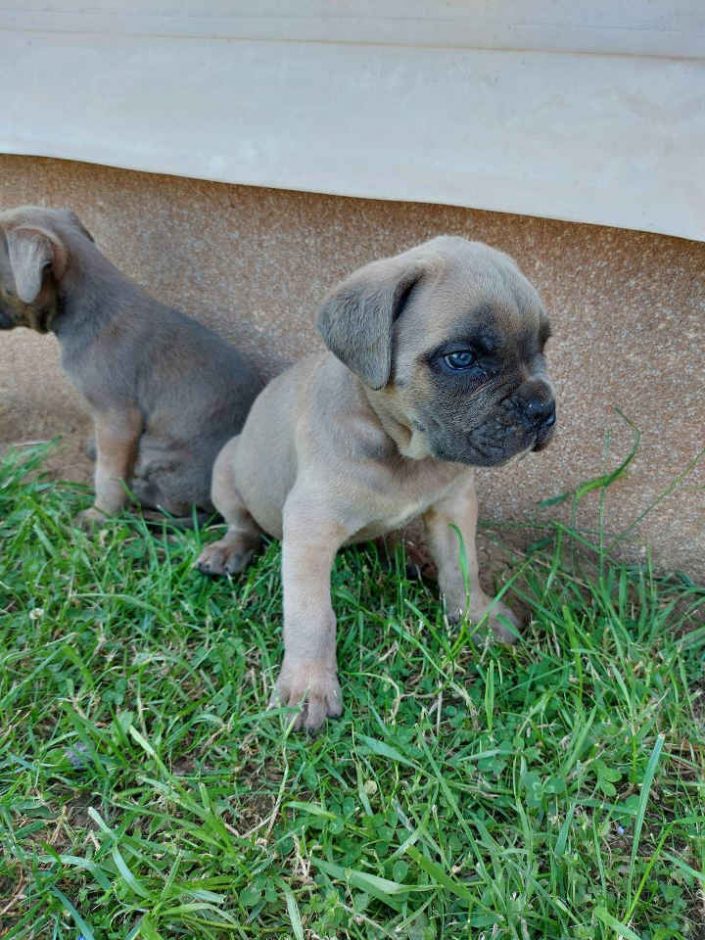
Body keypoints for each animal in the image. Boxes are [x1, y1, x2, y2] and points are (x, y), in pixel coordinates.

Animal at [197, 237, 556, 736]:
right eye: (461, 358)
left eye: (542, 346)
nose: (543, 409)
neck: (400, 446)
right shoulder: (309, 528)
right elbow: (312, 615)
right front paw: (308, 687)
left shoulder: (454, 506)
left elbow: (462, 567)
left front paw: (478, 617)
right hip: (226, 468)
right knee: (242, 523)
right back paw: (230, 549)